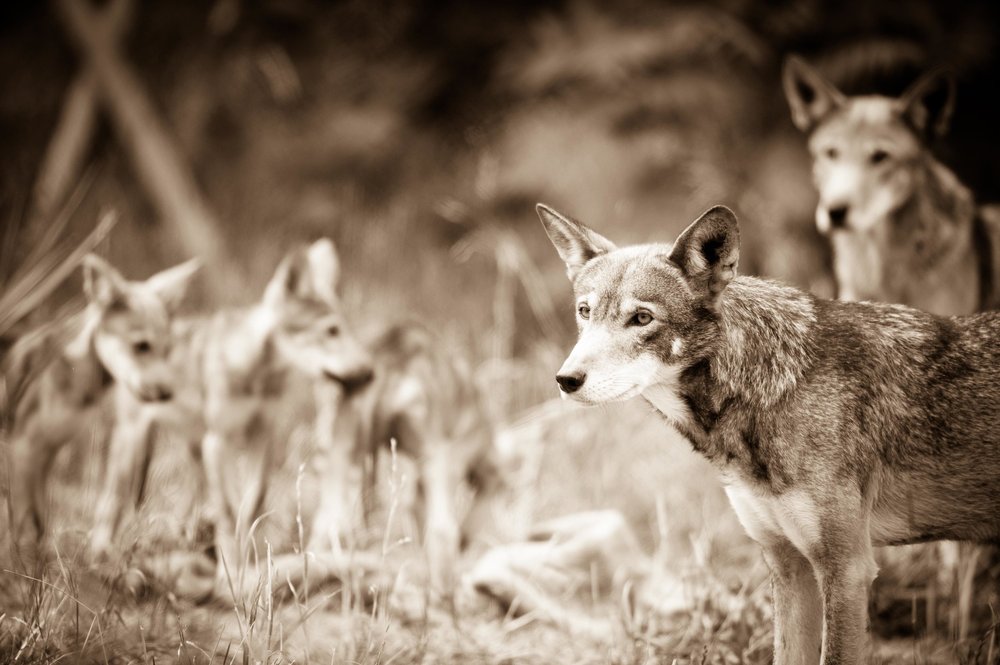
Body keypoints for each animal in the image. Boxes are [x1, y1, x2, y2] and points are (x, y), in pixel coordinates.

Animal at [4, 254, 200, 549]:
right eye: (141, 345)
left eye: (166, 349)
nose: (167, 394)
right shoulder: (25, 447)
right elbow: (28, 524)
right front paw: (24, 562)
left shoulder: (48, 450)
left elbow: (43, 523)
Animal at [537, 202, 1000, 664]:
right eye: (585, 311)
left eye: (642, 318)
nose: (566, 380)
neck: (775, 388)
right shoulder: (789, 565)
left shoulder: (847, 571)